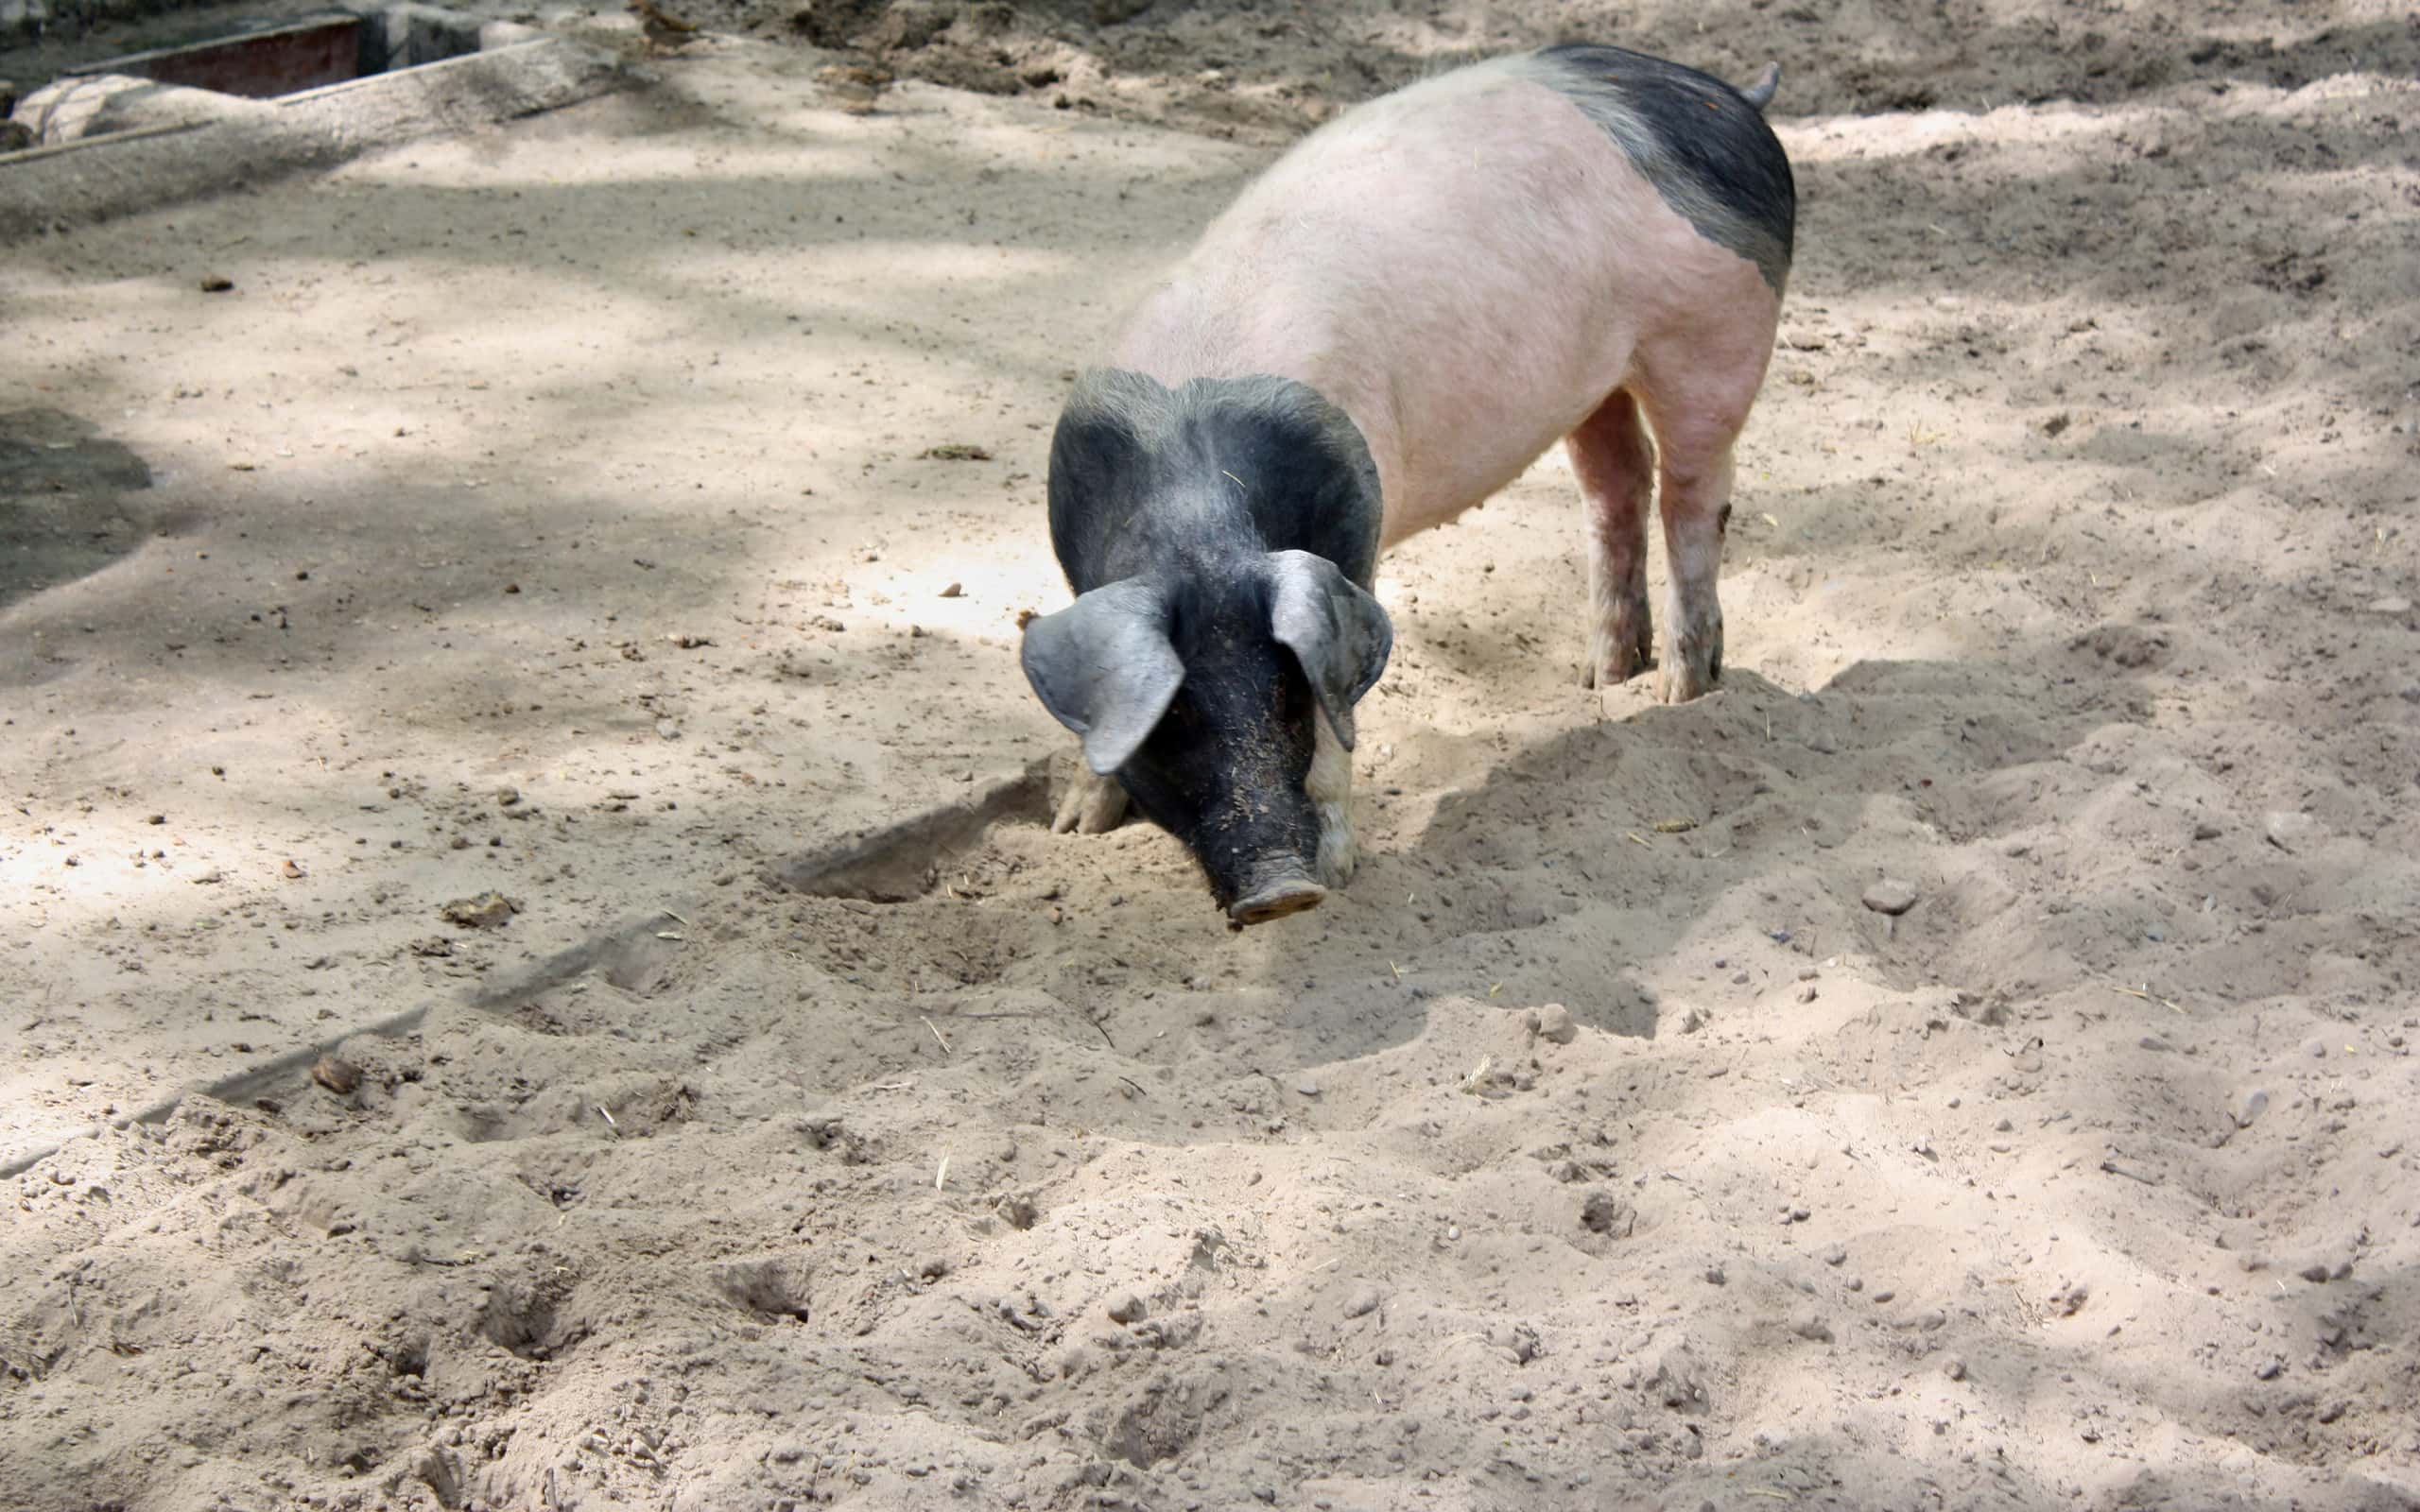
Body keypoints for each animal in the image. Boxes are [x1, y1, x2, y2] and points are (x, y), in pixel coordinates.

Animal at [1021, 42, 1795, 927]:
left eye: (1290, 694)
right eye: (1173, 716)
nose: (1279, 893)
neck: (1192, 503)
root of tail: (1723, 94)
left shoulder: (1353, 542)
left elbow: (1341, 723)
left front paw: (1340, 874)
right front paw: (1075, 828)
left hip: (1712, 338)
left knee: (1694, 499)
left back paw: (1680, 694)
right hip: (1597, 381)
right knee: (1616, 487)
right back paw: (1602, 678)